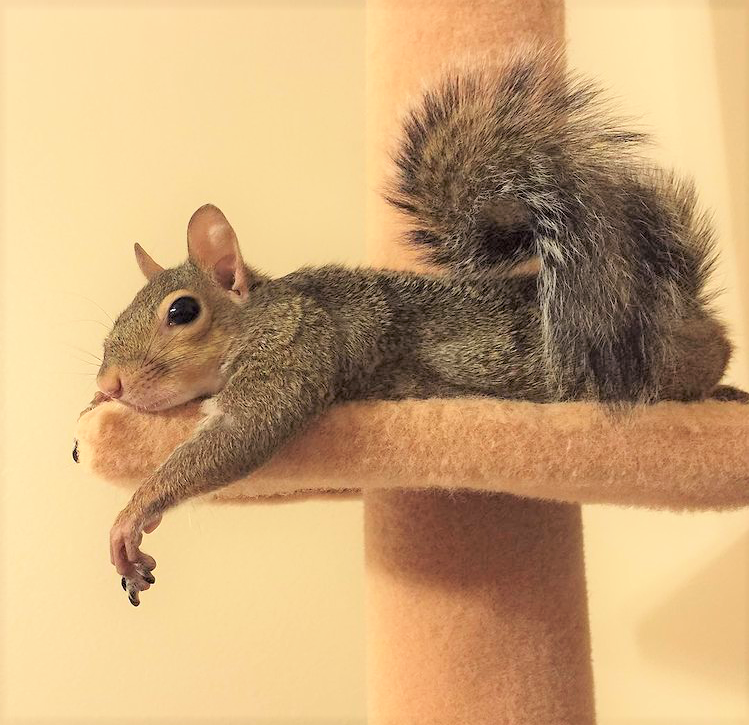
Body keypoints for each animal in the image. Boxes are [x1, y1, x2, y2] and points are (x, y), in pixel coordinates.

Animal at [94, 47, 732, 606]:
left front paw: (132, 514)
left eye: (182, 311)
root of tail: (672, 303)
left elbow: (242, 432)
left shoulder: (295, 347)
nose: (109, 386)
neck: (261, 312)